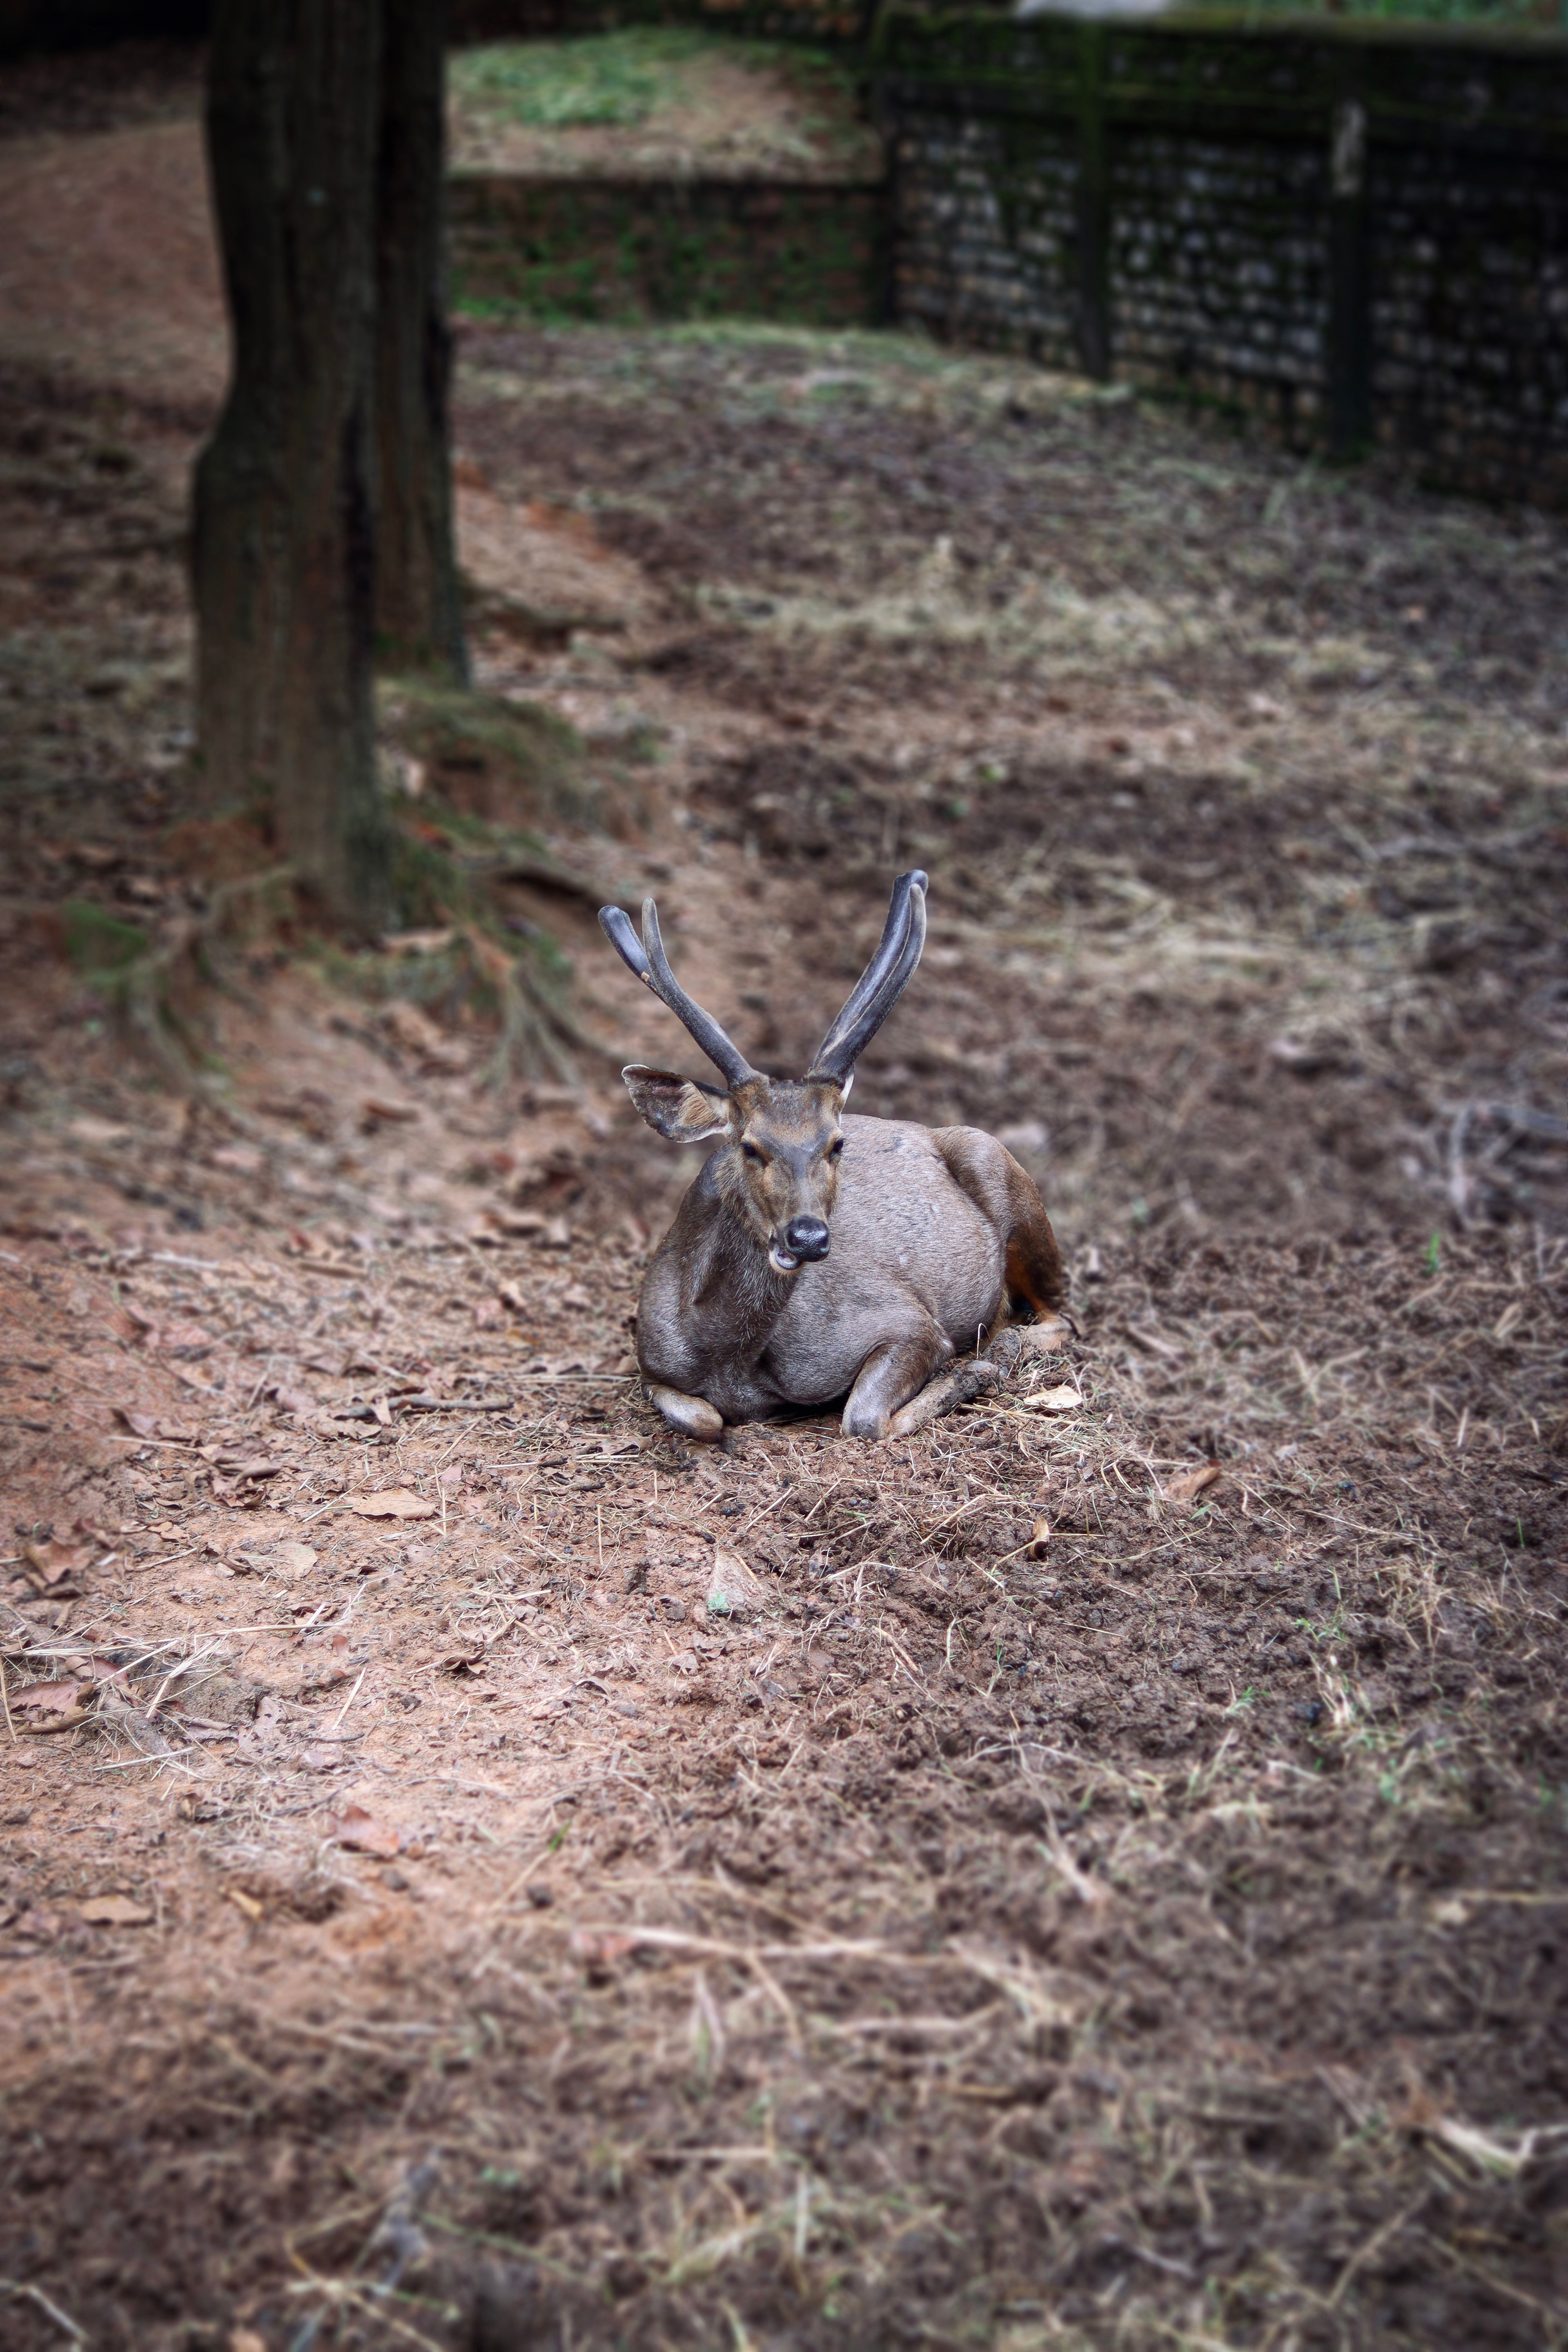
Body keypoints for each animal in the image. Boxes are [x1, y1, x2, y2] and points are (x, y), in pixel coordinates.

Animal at [599, 869, 1067, 1443]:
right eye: (749, 1145)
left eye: (837, 1143)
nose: (808, 1236)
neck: (727, 1356)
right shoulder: (650, 1365)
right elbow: (703, 1418)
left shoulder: (907, 1320)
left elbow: (864, 1418)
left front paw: (969, 1374)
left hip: (1000, 1169)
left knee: (1058, 1316)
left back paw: (998, 1348)